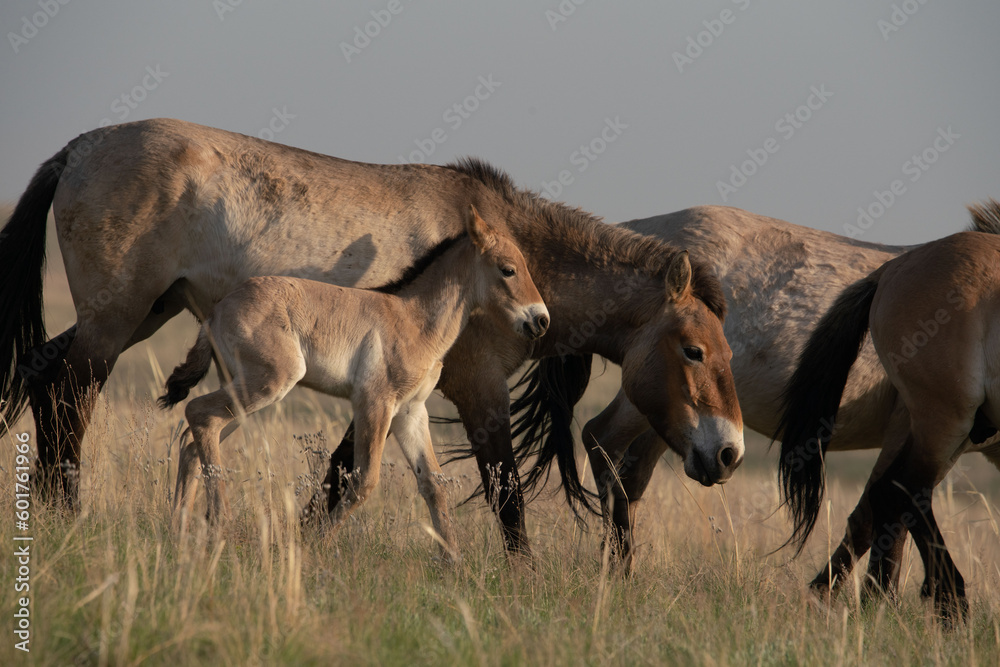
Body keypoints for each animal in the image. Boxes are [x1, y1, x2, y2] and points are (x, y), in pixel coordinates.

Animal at [157, 206, 547, 558]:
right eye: (508, 269)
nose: (541, 320)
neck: (414, 320)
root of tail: (215, 313)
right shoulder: (374, 403)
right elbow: (364, 479)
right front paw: (315, 547)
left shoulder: (410, 412)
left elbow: (433, 483)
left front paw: (454, 564)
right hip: (267, 385)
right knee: (198, 414)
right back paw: (216, 522)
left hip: (244, 396)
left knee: (192, 438)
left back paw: (179, 528)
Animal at [494, 204, 1000, 571]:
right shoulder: (919, 427)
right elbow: (877, 518)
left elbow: (880, 517)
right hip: (657, 409)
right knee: (603, 441)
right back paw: (617, 565)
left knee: (629, 472)